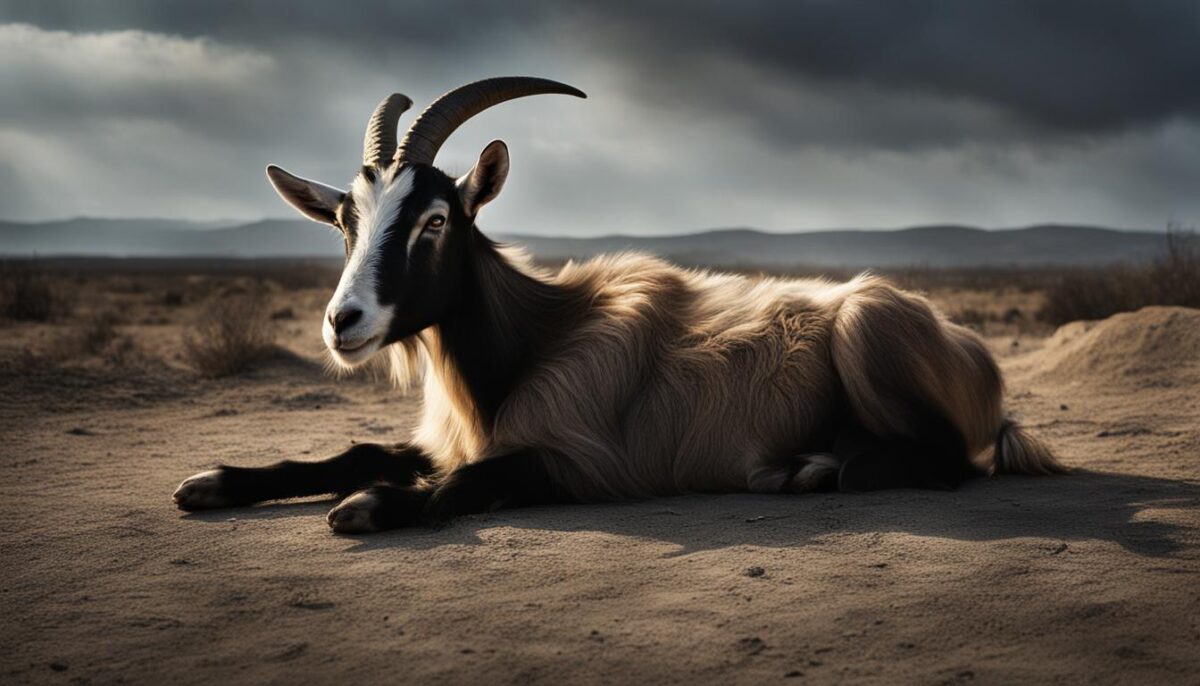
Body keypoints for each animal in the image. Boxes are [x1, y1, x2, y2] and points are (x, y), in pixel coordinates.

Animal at [173, 77, 1063, 533]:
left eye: (435, 219)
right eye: (344, 220)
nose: (343, 322)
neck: (536, 337)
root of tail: (968, 349)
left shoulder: (582, 463)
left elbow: (465, 483)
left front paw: (368, 507)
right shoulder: (447, 440)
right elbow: (361, 449)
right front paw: (214, 481)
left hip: (863, 333)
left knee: (945, 460)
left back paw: (810, 468)